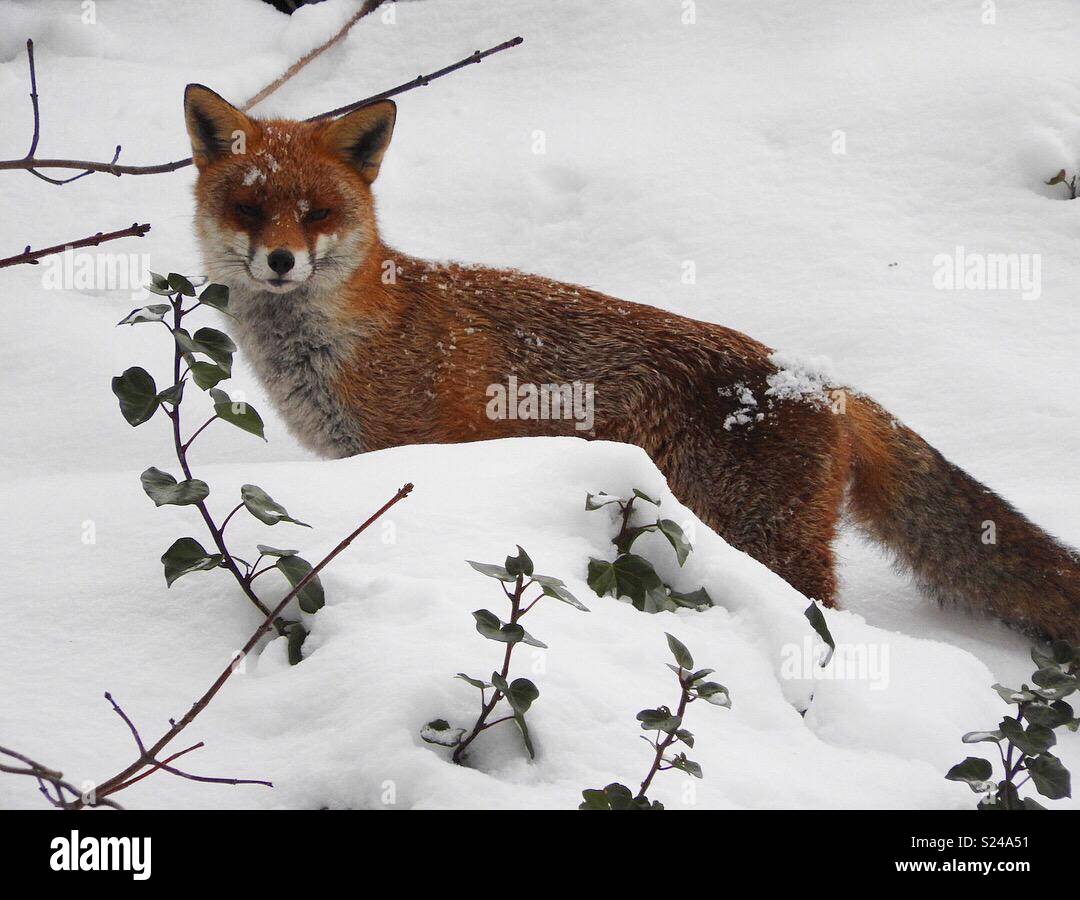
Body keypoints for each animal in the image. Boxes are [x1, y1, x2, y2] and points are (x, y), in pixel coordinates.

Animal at [183, 84, 1080, 642]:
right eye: (251, 209)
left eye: (316, 213)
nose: (281, 263)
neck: (346, 340)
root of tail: (819, 381)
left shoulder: (417, 447)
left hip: (767, 540)